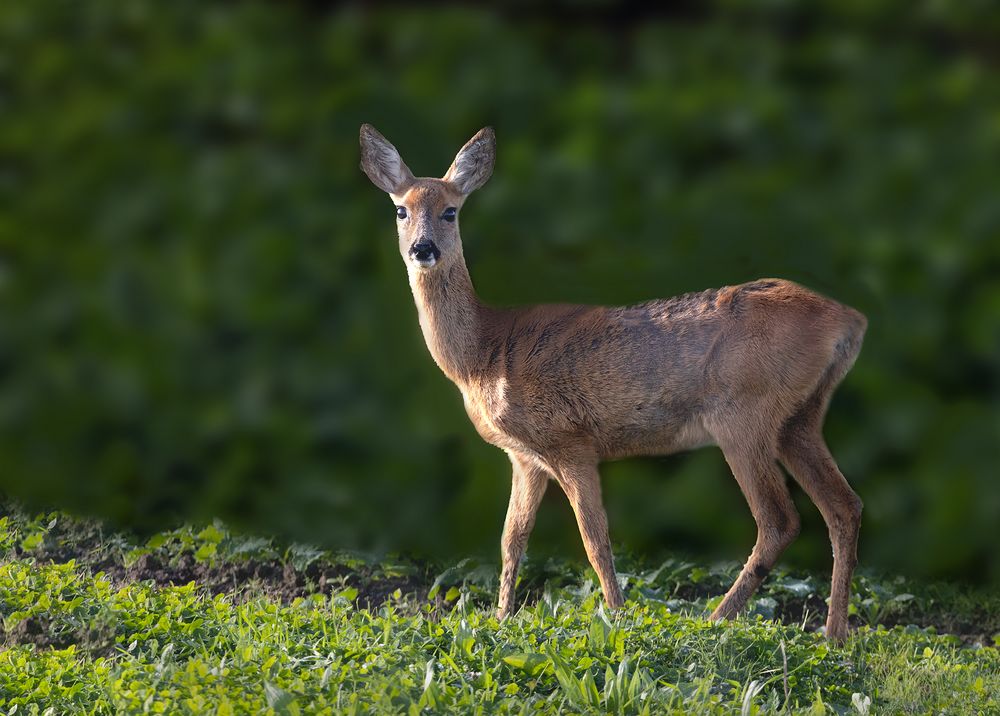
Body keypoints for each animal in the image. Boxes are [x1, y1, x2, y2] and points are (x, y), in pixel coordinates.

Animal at [359, 124, 867, 642]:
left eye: (451, 210)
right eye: (401, 209)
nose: (423, 248)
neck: (483, 356)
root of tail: (849, 320)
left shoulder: (570, 440)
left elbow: (594, 537)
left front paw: (619, 615)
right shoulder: (525, 457)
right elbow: (511, 537)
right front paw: (501, 617)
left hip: (745, 413)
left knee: (779, 519)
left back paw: (716, 620)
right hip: (800, 418)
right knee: (844, 506)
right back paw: (834, 632)